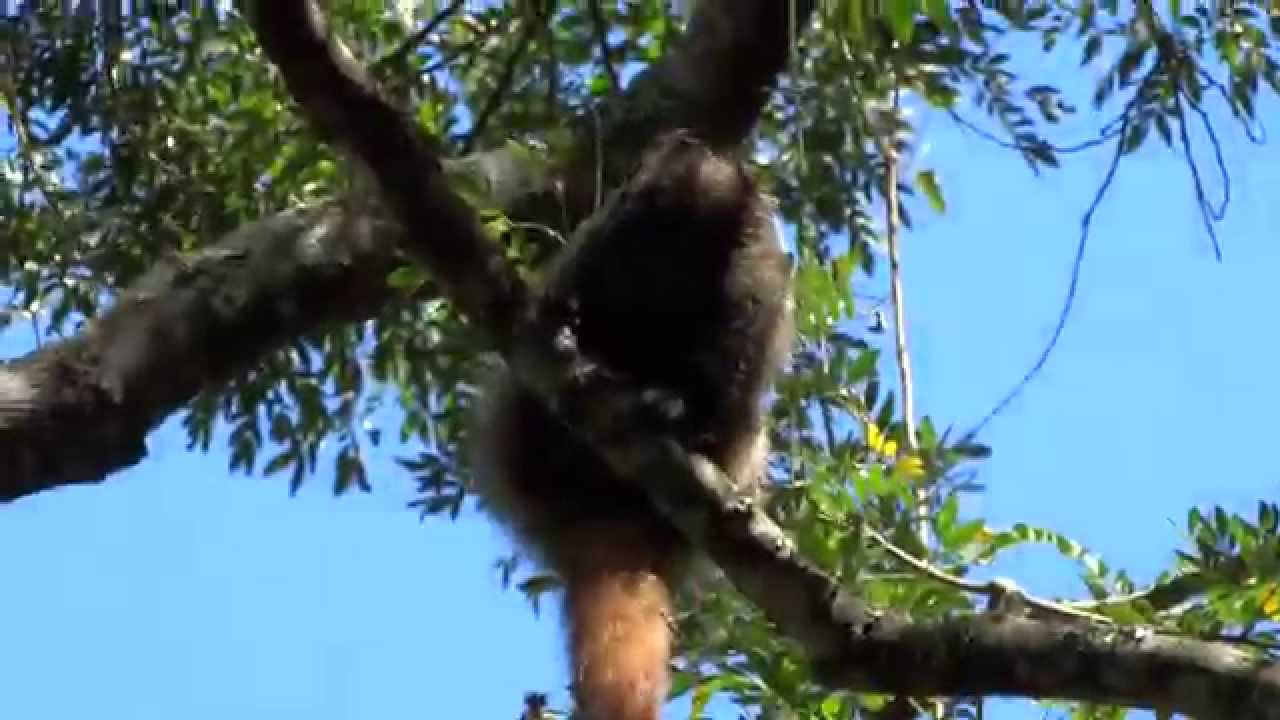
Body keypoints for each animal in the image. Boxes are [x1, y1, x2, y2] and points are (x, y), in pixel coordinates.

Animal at [469, 130, 794, 720]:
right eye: (648, 226)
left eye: (691, 254)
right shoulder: (605, 238)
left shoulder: (756, 265)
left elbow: (740, 357)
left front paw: (682, 407)